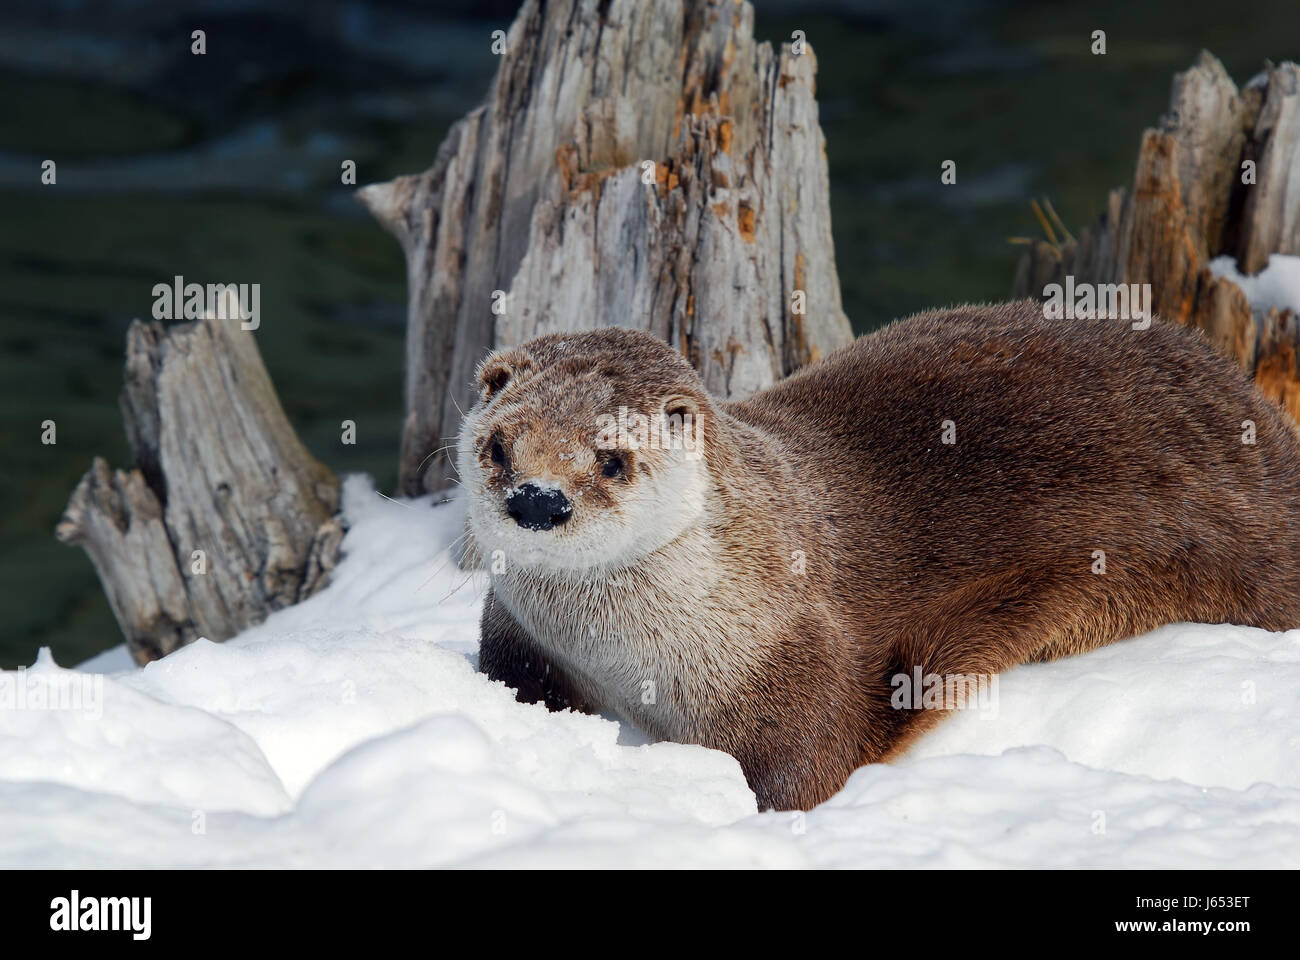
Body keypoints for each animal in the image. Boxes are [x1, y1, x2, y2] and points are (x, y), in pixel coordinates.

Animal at [457, 300, 1300, 811]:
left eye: (611, 460)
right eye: (498, 445)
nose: (537, 499)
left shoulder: (801, 667)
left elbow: (806, 769)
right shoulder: (518, 632)